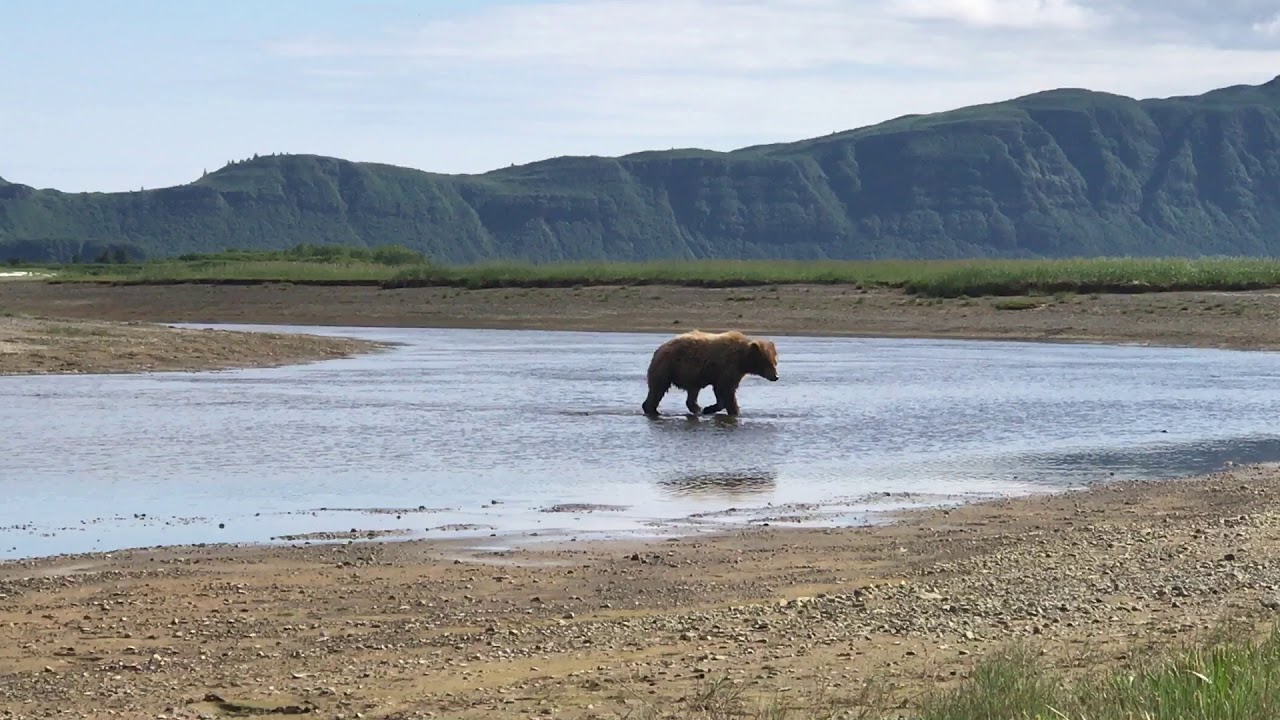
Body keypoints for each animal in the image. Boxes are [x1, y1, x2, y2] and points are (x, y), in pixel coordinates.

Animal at [641, 329, 779, 417]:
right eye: (767, 362)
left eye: (775, 362)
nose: (776, 376)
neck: (742, 360)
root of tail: (660, 348)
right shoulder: (727, 366)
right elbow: (725, 390)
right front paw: (734, 412)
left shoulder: (729, 372)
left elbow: (723, 390)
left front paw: (709, 409)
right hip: (668, 366)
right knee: (658, 388)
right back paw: (653, 410)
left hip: (690, 375)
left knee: (692, 392)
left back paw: (697, 409)